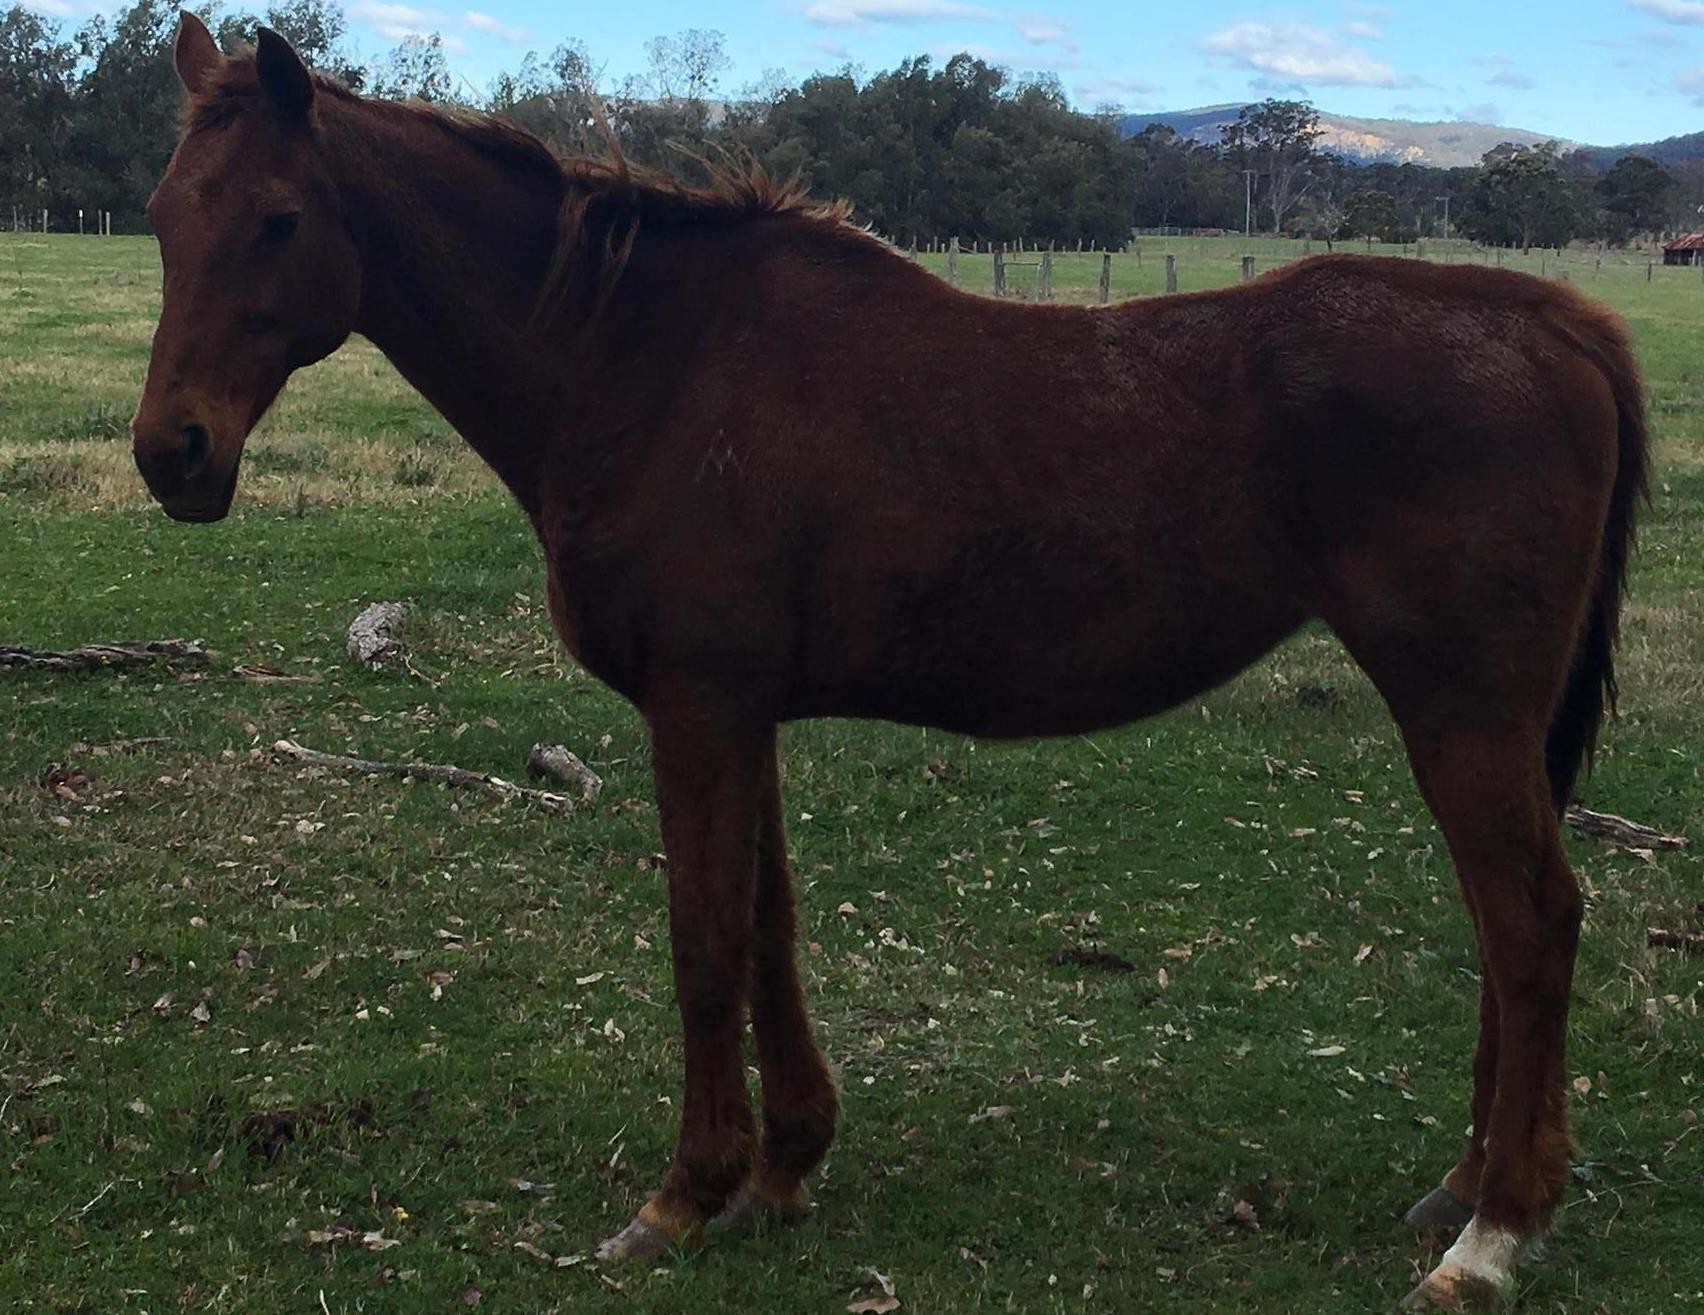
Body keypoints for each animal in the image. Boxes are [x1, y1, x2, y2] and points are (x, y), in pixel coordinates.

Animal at [131, 17, 1647, 1310]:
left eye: (277, 221)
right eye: (161, 219)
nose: (173, 454)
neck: (644, 360)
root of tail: (1555, 319)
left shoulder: (696, 705)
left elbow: (703, 938)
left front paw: (684, 1193)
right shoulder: (738, 705)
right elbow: (767, 924)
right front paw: (783, 1165)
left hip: (1458, 709)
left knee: (1532, 923)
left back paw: (1493, 1231)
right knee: (1510, 928)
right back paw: (1467, 1183)